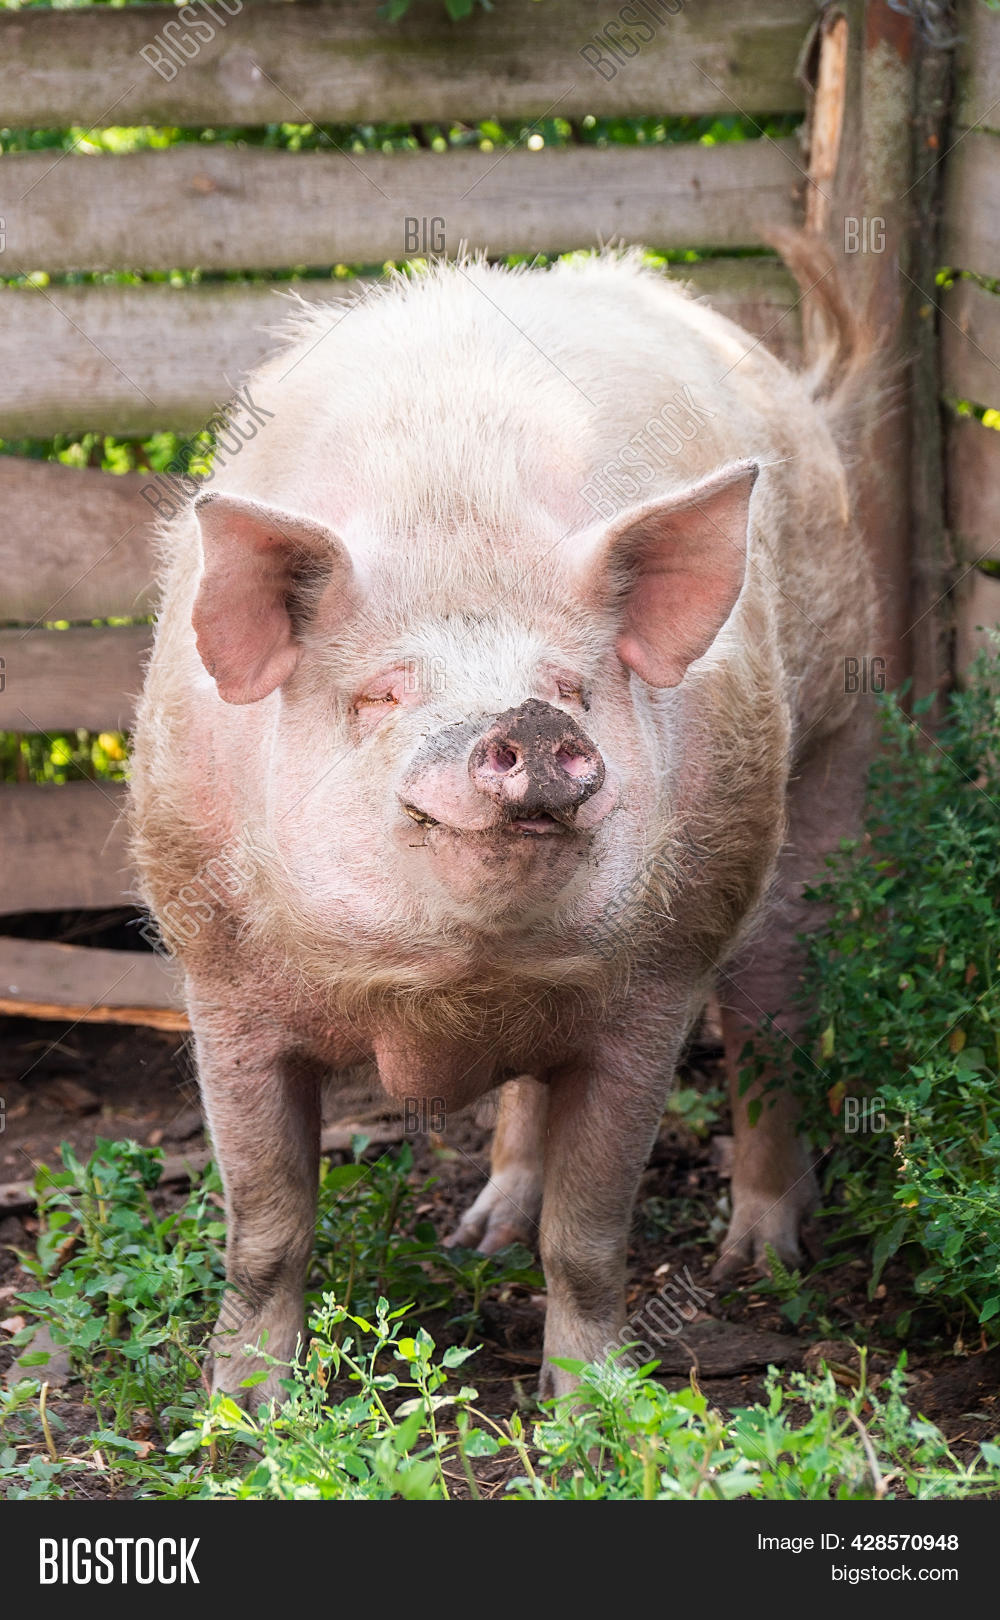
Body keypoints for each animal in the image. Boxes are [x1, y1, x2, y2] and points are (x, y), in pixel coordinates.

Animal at [129, 242, 875, 1401]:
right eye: (381, 694)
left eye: (572, 687)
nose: (525, 719)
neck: (462, 984)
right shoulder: (220, 981)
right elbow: (266, 1233)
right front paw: (242, 1413)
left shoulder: (653, 993)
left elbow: (591, 1240)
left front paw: (589, 1413)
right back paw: (481, 1235)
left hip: (832, 744)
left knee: (768, 1012)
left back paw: (757, 1259)